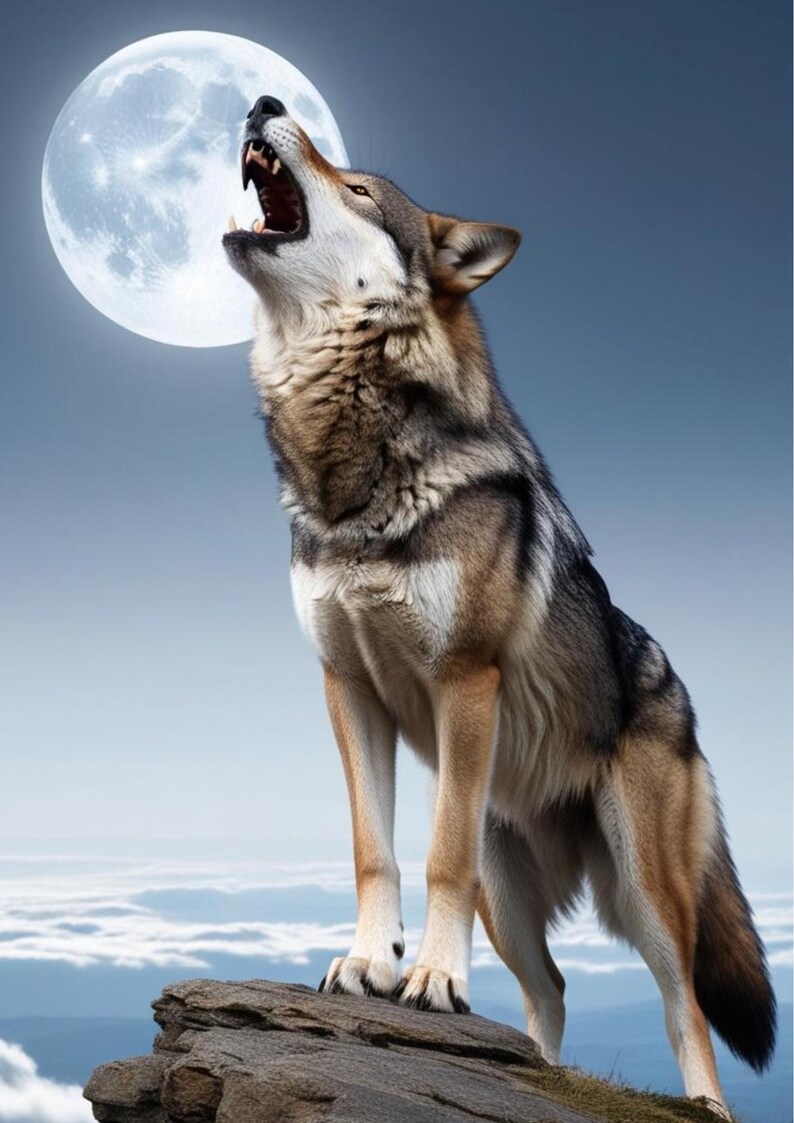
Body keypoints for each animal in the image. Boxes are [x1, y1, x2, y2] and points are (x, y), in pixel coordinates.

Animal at [223, 95, 775, 1117]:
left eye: (359, 187)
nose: (265, 102)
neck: (352, 481)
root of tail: (674, 682)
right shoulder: (347, 687)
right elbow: (374, 850)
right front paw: (370, 963)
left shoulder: (463, 679)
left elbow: (433, 857)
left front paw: (434, 979)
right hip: (507, 883)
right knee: (549, 988)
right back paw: (537, 1070)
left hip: (641, 886)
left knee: (683, 1003)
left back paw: (707, 1103)